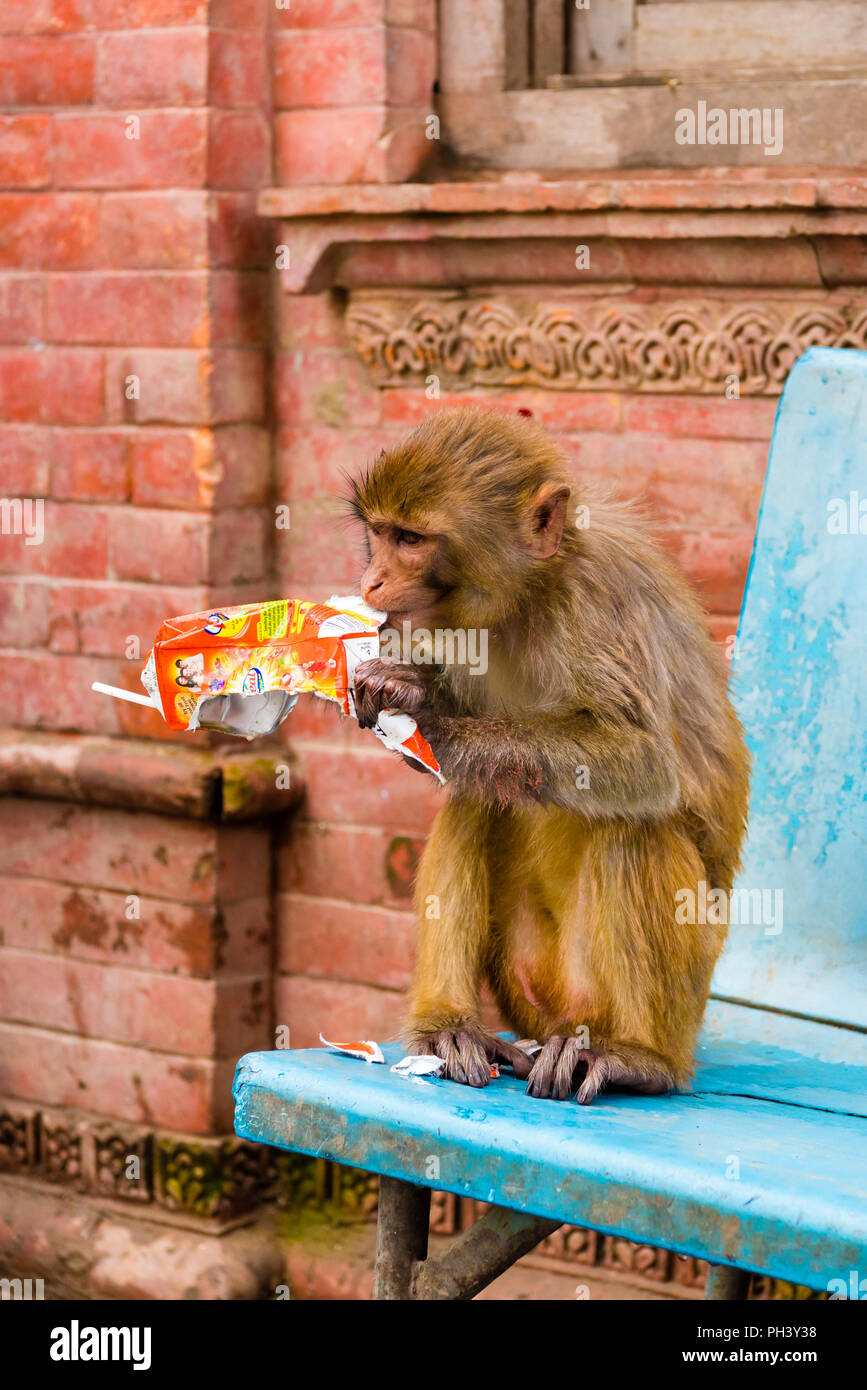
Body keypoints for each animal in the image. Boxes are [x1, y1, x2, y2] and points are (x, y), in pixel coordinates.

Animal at [349, 408, 750, 1103]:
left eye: (410, 537)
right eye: (378, 533)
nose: (373, 580)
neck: (527, 597)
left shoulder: (600, 598)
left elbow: (642, 761)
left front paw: (429, 719)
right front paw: (409, 686)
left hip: (661, 992)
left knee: (635, 823)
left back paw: (642, 1059)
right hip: (528, 982)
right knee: (478, 798)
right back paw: (449, 1028)